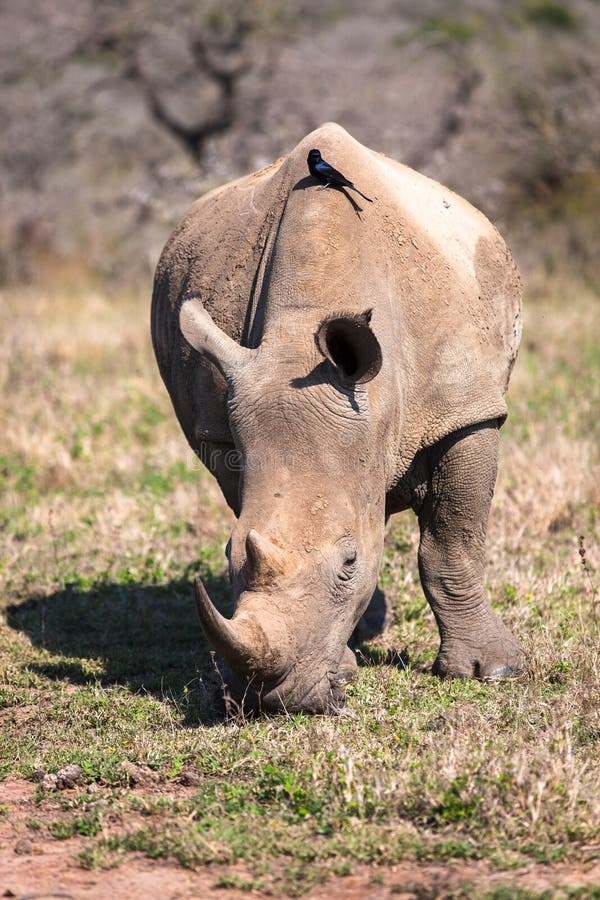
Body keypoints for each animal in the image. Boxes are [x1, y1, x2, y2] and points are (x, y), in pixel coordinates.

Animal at [151, 122, 524, 714]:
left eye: (348, 562)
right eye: (227, 552)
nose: (283, 700)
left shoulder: (466, 409)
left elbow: (454, 541)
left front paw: (493, 672)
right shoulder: (222, 431)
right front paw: (344, 664)